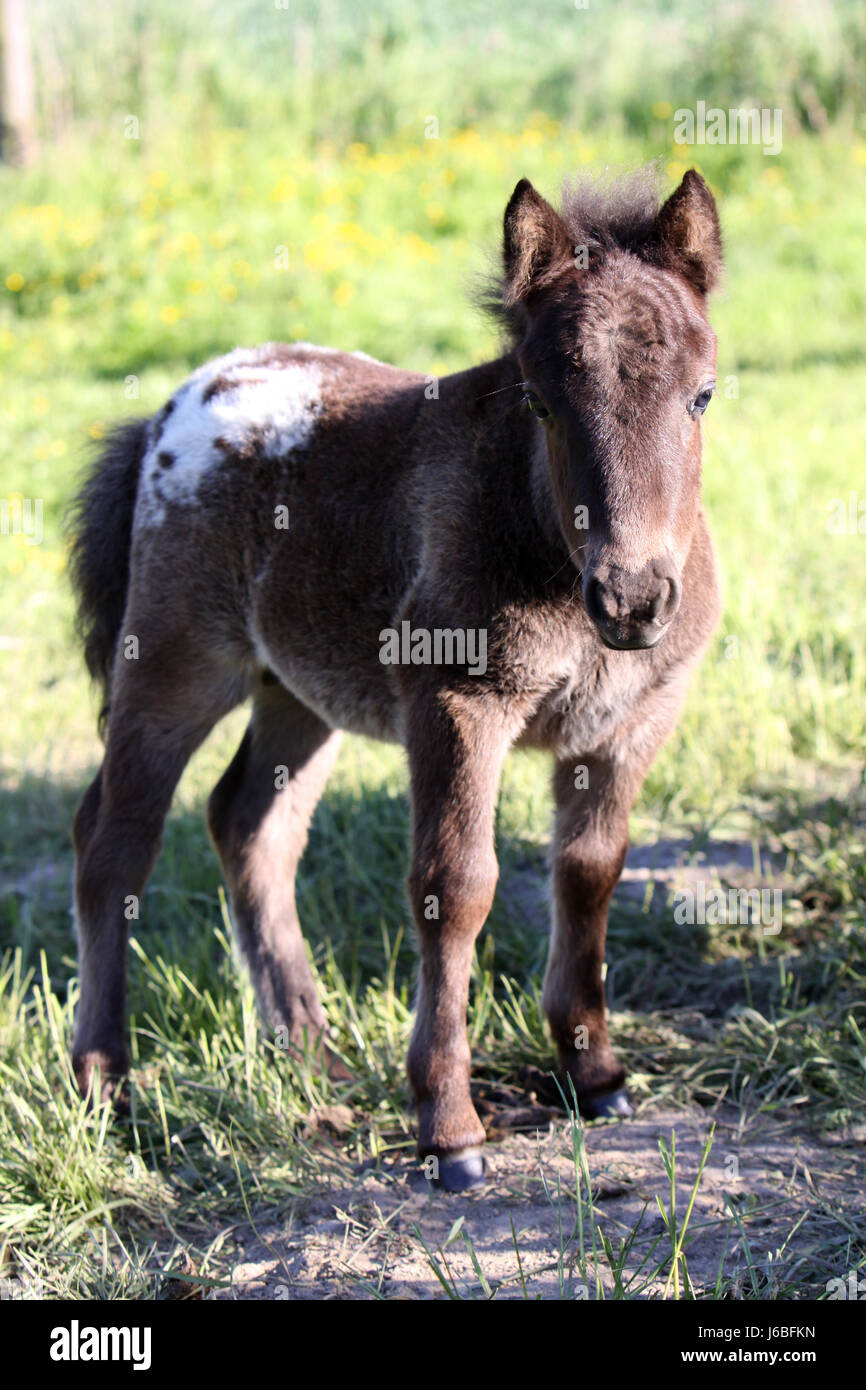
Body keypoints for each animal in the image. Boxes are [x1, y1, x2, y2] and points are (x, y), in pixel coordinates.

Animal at [68, 166, 722, 1191]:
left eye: (702, 396)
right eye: (540, 402)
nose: (633, 598)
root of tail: (170, 409)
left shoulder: (631, 723)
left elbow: (589, 872)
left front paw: (594, 1074)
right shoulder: (456, 706)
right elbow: (457, 887)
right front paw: (449, 1127)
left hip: (297, 691)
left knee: (249, 824)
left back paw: (312, 1054)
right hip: (176, 663)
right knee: (114, 840)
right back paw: (105, 1082)